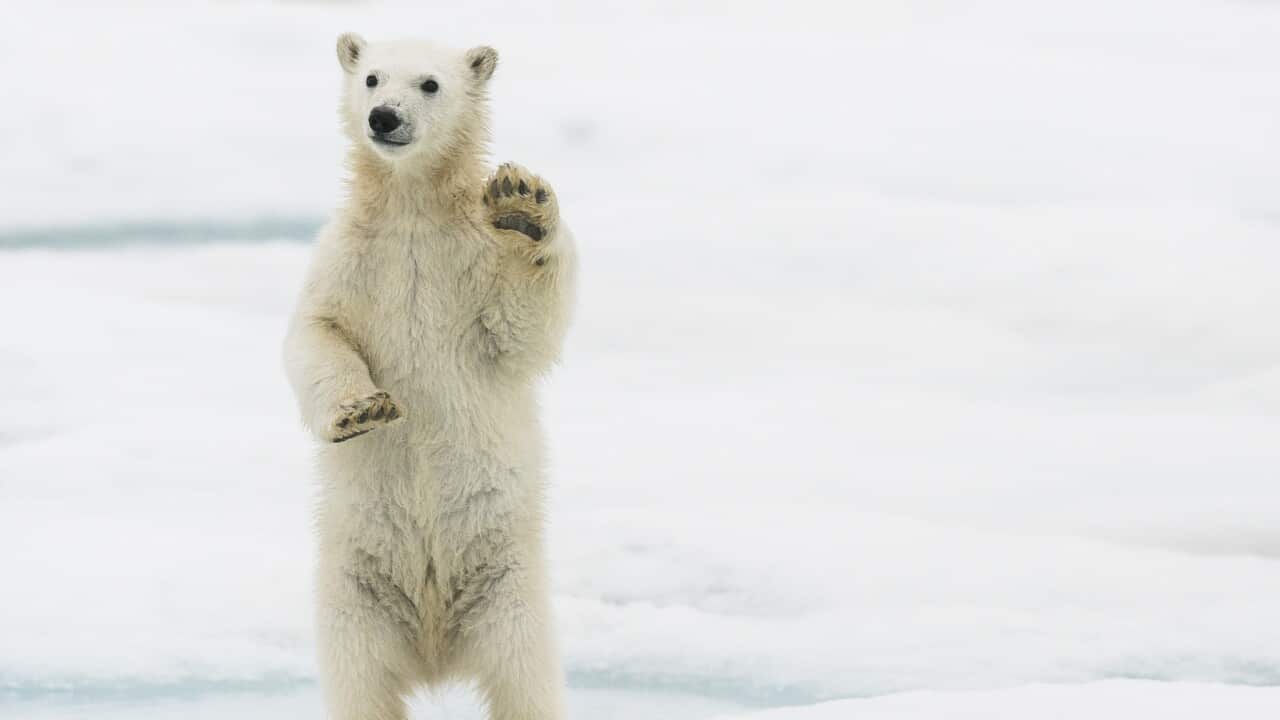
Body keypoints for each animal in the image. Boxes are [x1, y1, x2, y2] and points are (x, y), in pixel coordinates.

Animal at [283, 33, 576, 720]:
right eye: (371, 77)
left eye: (430, 83)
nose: (383, 117)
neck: (412, 209)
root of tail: (435, 650)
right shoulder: (348, 256)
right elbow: (316, 333)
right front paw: (361, 410)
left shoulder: (472, 261)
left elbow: (521, 330)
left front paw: (524, 203)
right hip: (353, 597)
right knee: (361, 687)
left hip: (509, 589)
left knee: (527, 680)